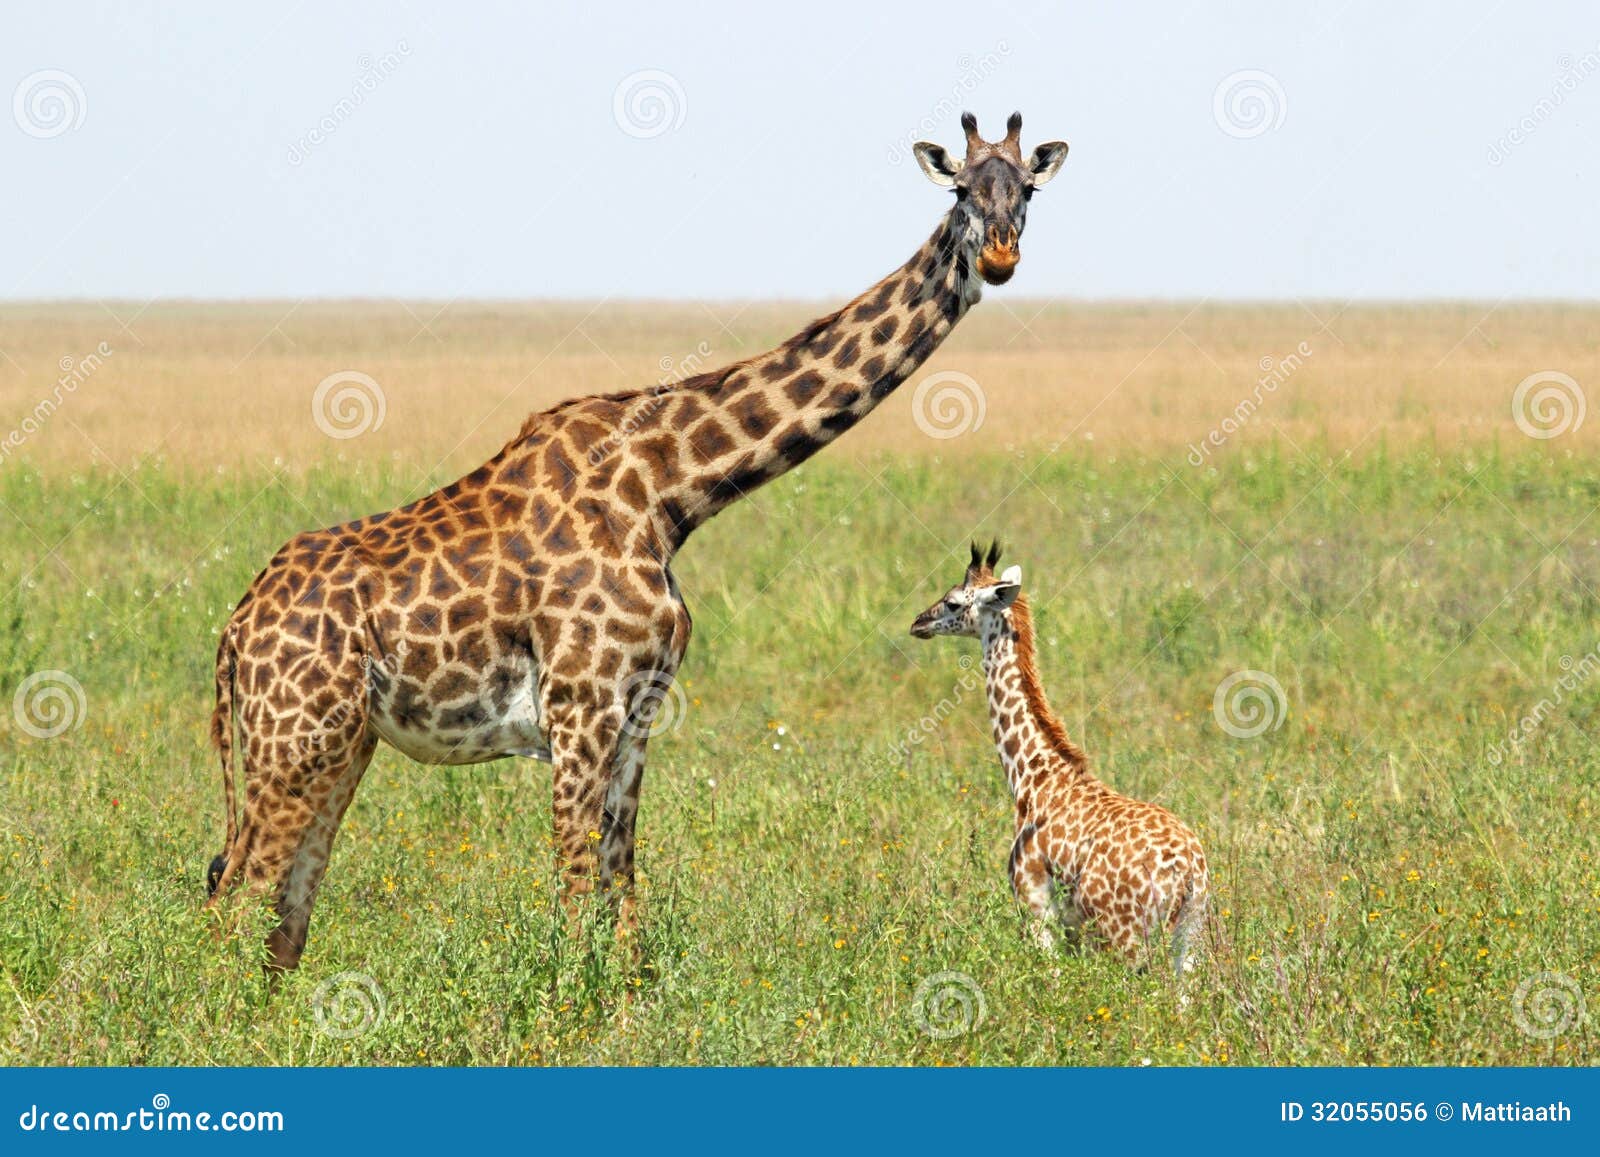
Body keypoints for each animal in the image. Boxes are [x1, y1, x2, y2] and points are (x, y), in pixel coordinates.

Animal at [205, 113, 1071, 970]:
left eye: (1026, 188)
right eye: (962, 189)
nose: (999, 257)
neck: (667, 492)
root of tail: (236, 628)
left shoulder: (638, 713)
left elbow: (622, 899)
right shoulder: (581, 707)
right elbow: (574, 894)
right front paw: (560, 1003)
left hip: (340, 742)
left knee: (282, 915)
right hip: (294, 738)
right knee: (235, 897)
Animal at [909, 544, 1209, 974]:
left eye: (952, 601)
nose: (918, 622)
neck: (1032, 776)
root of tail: (1187, 871)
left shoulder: (1035, 906)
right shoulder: (1070, 927)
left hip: (1126, 935)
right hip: (1191, 935)